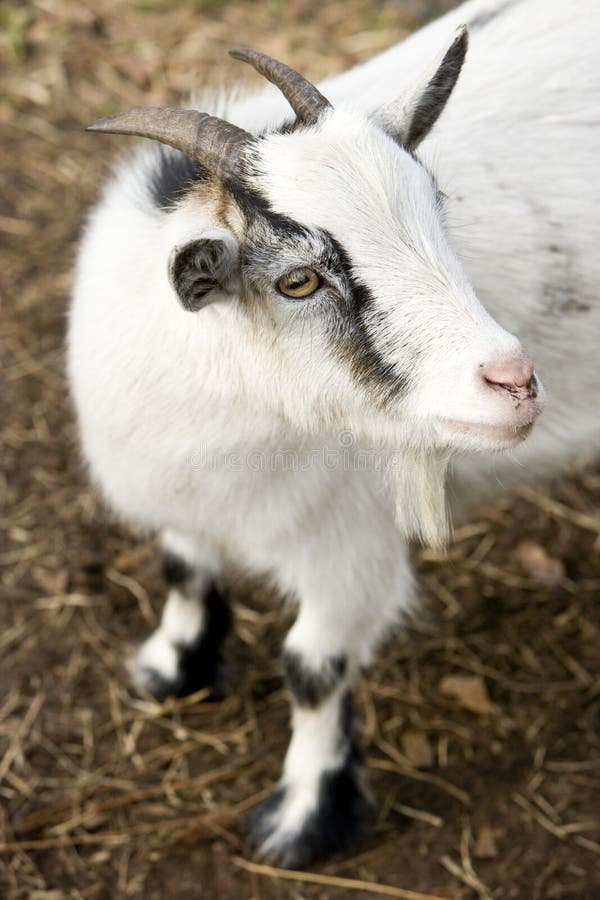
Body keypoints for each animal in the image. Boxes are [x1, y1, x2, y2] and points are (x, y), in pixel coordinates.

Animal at [68, 0, 600, 867]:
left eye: (439, 213)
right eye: (297, 280)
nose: (514, 382)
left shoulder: (345, 547)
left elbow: (313, 670)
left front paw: (303, 822)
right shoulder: (182, 491)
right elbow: (183, 568)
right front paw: (171, 668)